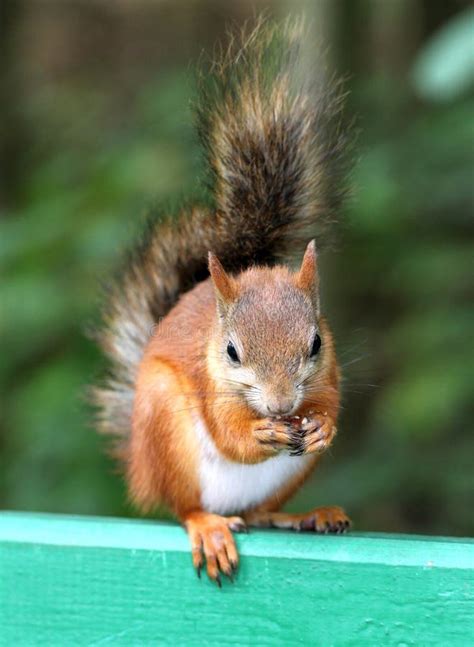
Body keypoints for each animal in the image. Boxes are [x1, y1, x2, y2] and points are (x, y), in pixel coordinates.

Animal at [92, 18, 353, 585]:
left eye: (316, 343)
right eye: (231, 352)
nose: (281, 407)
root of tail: (141, 466)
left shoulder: (331, 374)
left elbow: (330, 405)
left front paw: (321, 425)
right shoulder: (209, 383)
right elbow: (231, 436)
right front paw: (259, 431)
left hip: (285, 479)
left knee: (259, 512)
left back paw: (305, 515)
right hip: (165, 428)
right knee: (186, 506)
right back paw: (209, 527)